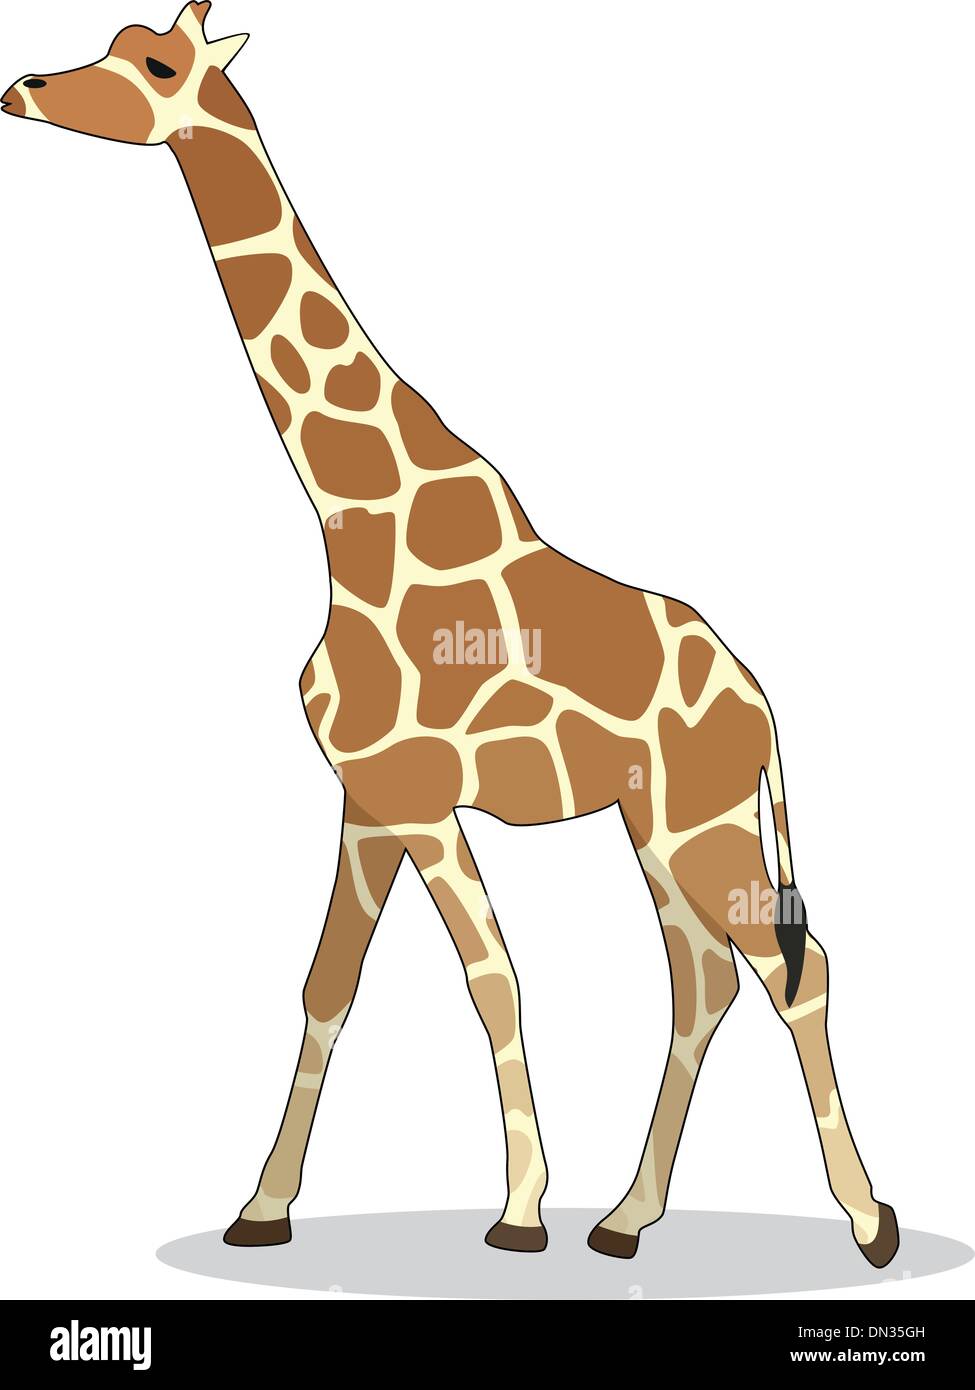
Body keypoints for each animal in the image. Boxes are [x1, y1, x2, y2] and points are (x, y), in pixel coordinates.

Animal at [3, 3, 899, 1268]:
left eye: (158, 63)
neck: (348, 522)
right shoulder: (368, 797)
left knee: (794, 969)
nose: (24, 87)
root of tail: (765, 706)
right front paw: (262, 1208)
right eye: (112, 41)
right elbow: (327, 986)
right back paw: (625, 1218)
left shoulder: (424, 797)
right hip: (658, 825)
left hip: (702, 822)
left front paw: (518, 1211)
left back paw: (868, 1221)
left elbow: (493, 978)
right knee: (706, 980)